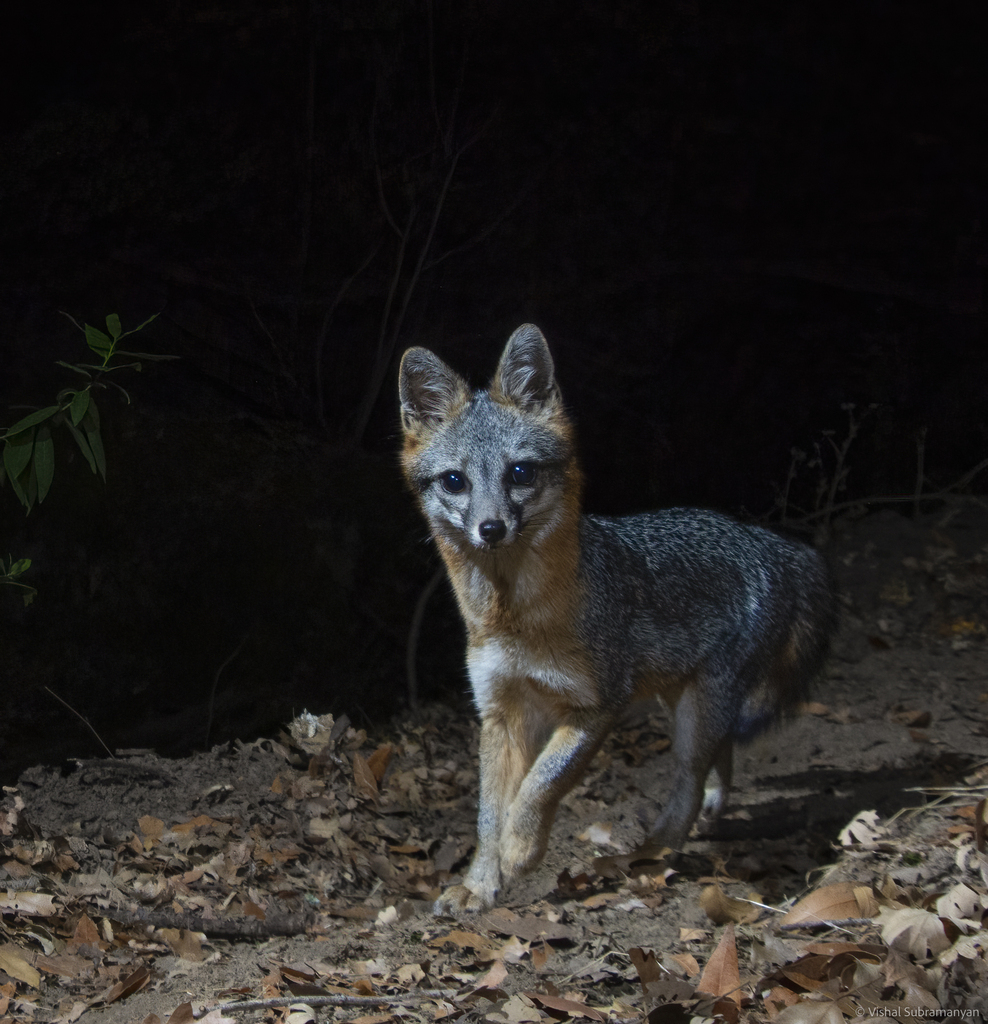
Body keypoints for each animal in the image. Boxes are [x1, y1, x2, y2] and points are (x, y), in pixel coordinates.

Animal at [398, 324, 837, 915]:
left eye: (520, 472)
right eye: (454, 481)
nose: (491, 528)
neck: (516, 619)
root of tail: (774, 544)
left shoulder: (599, 705)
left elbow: (540, 785)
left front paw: (520, 849)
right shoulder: (500, 711)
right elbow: (488, 812)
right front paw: (480, 883)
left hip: (695, 713)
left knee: (688, 785)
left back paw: (645, 854)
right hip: (683, 701)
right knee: (717, 761)